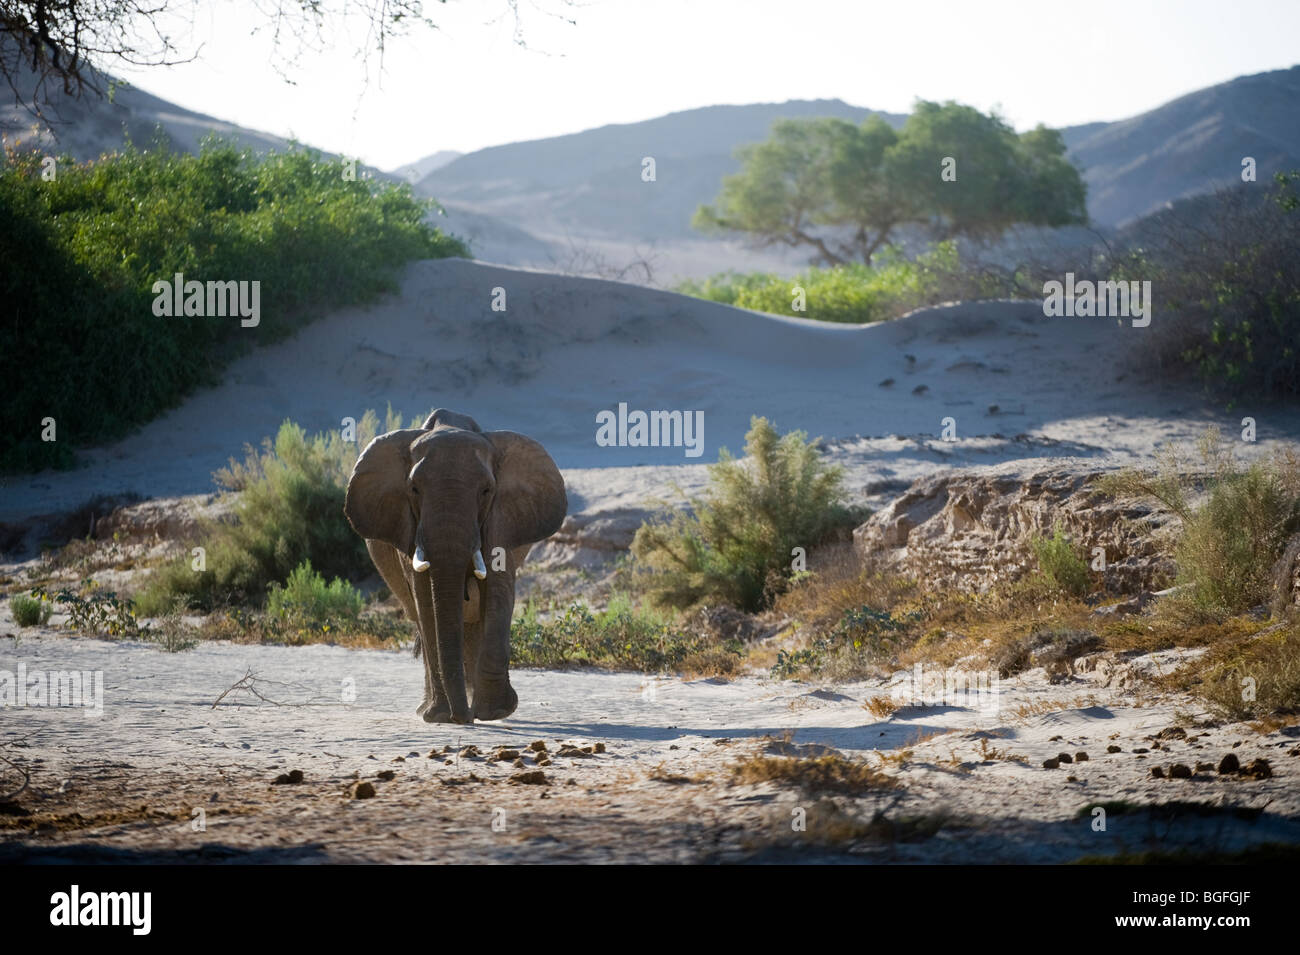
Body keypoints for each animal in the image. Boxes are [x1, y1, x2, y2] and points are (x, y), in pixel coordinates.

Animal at [343, 409, 566, 723]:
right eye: (413, 489)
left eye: (487, 490)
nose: (463, 719)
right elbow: (426, 600)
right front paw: (442, 715)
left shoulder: (502, 518)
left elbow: (498, 591)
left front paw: (495, 712)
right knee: (421, 617)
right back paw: (431, 709)